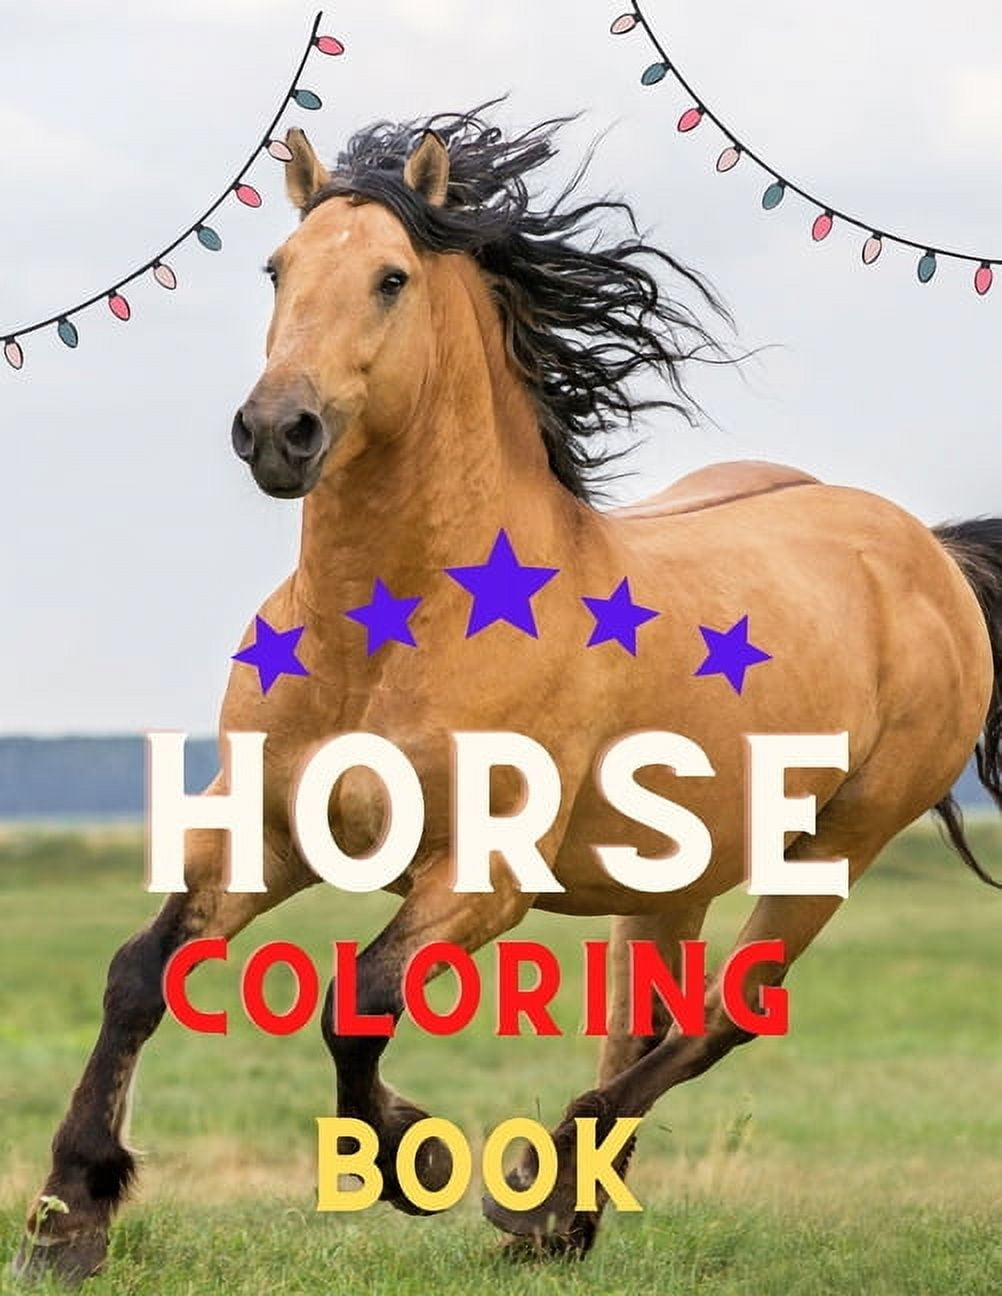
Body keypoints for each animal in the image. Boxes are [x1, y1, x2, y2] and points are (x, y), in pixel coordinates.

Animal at [16, 106, 1002, 1283]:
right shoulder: (266, 829)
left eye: (391, 278)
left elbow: (362, 999)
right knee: (647, 1021)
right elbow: (137, 975)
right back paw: (563, 1220)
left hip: (837, 848)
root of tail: (929, 554)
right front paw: (68, 1218)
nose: (277, 432)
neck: (387, 637)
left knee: (724, 1018)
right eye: (276, 268)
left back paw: (535, 1192)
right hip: (669, 876)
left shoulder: (486, 878)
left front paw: (419, 1157)